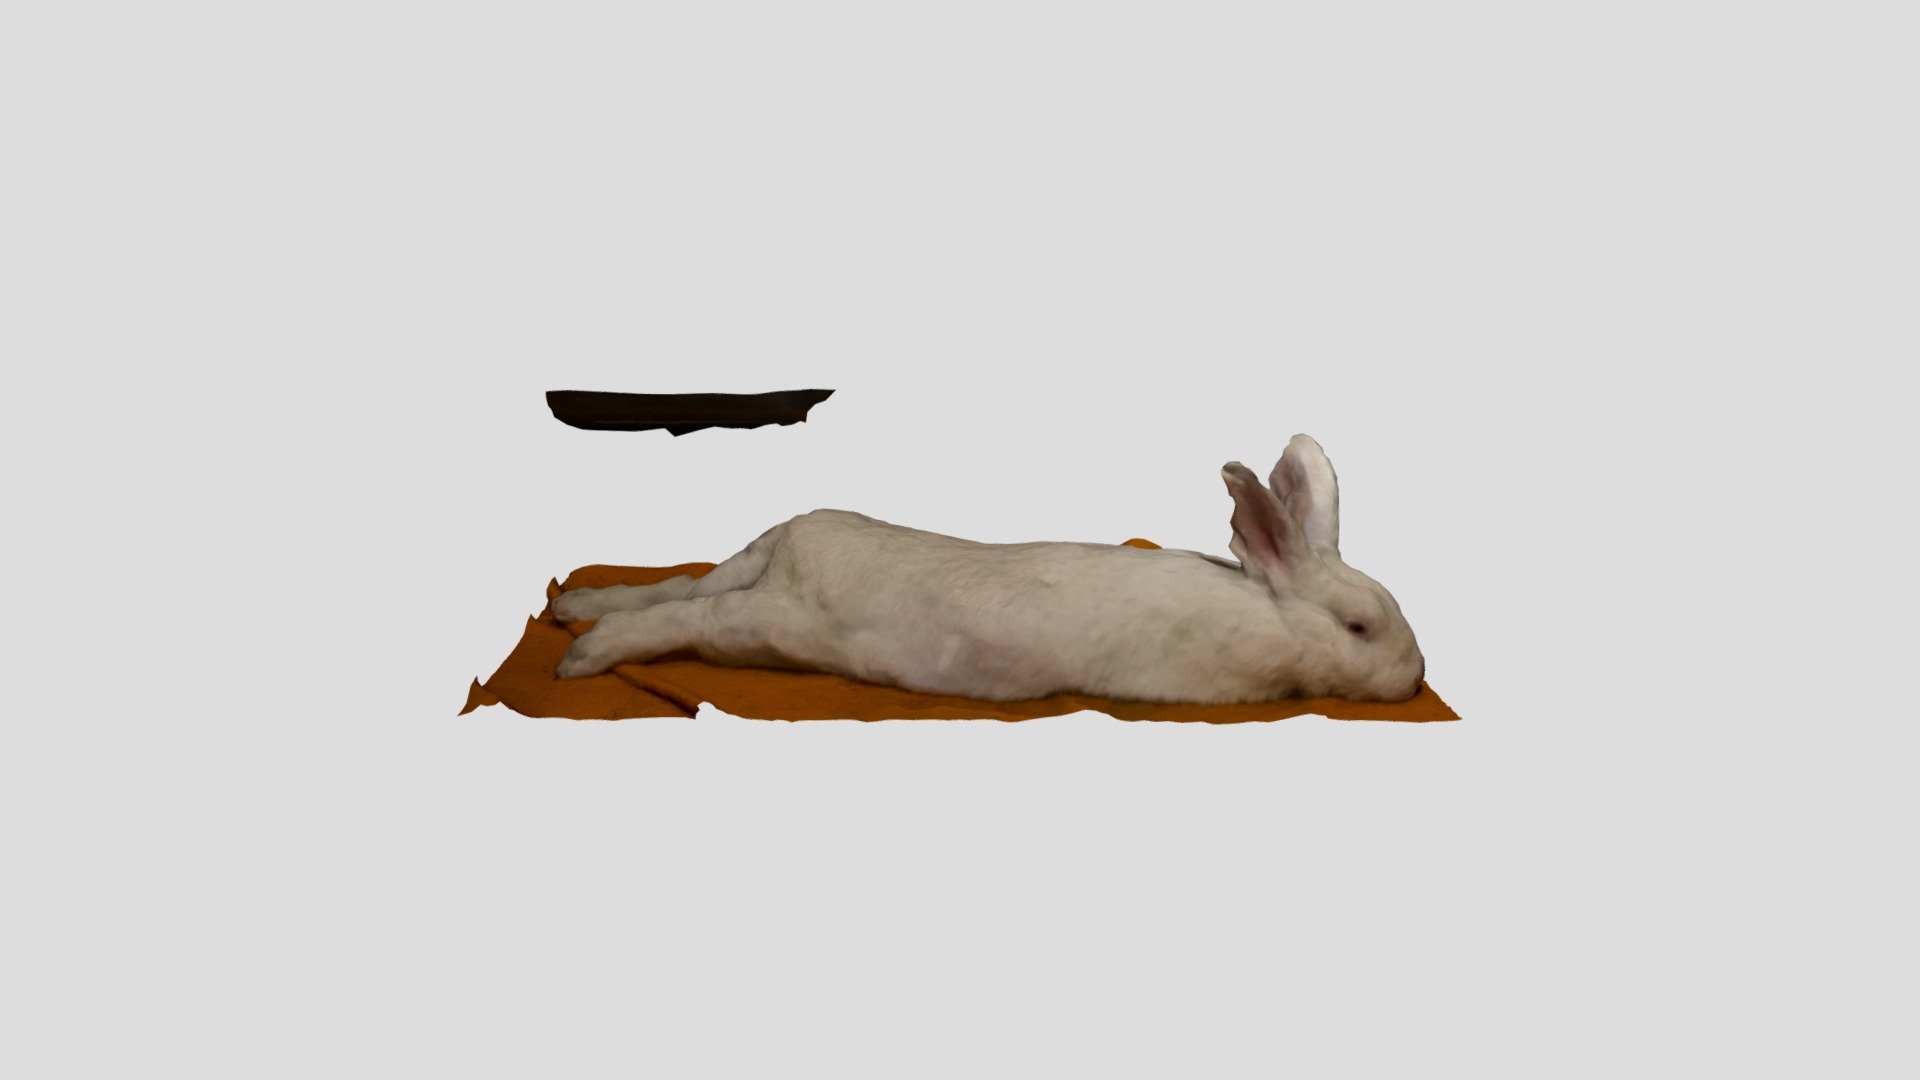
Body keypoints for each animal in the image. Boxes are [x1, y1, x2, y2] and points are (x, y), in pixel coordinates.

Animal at [552, 434, 1426, 703]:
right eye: (1359, 628)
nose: (1417, 680)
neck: (1270, 613)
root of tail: (787, 545)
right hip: (772, 626)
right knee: (687, 617)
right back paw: (582, 656)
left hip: (746, 585)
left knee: (678, 585)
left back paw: (572, 608)